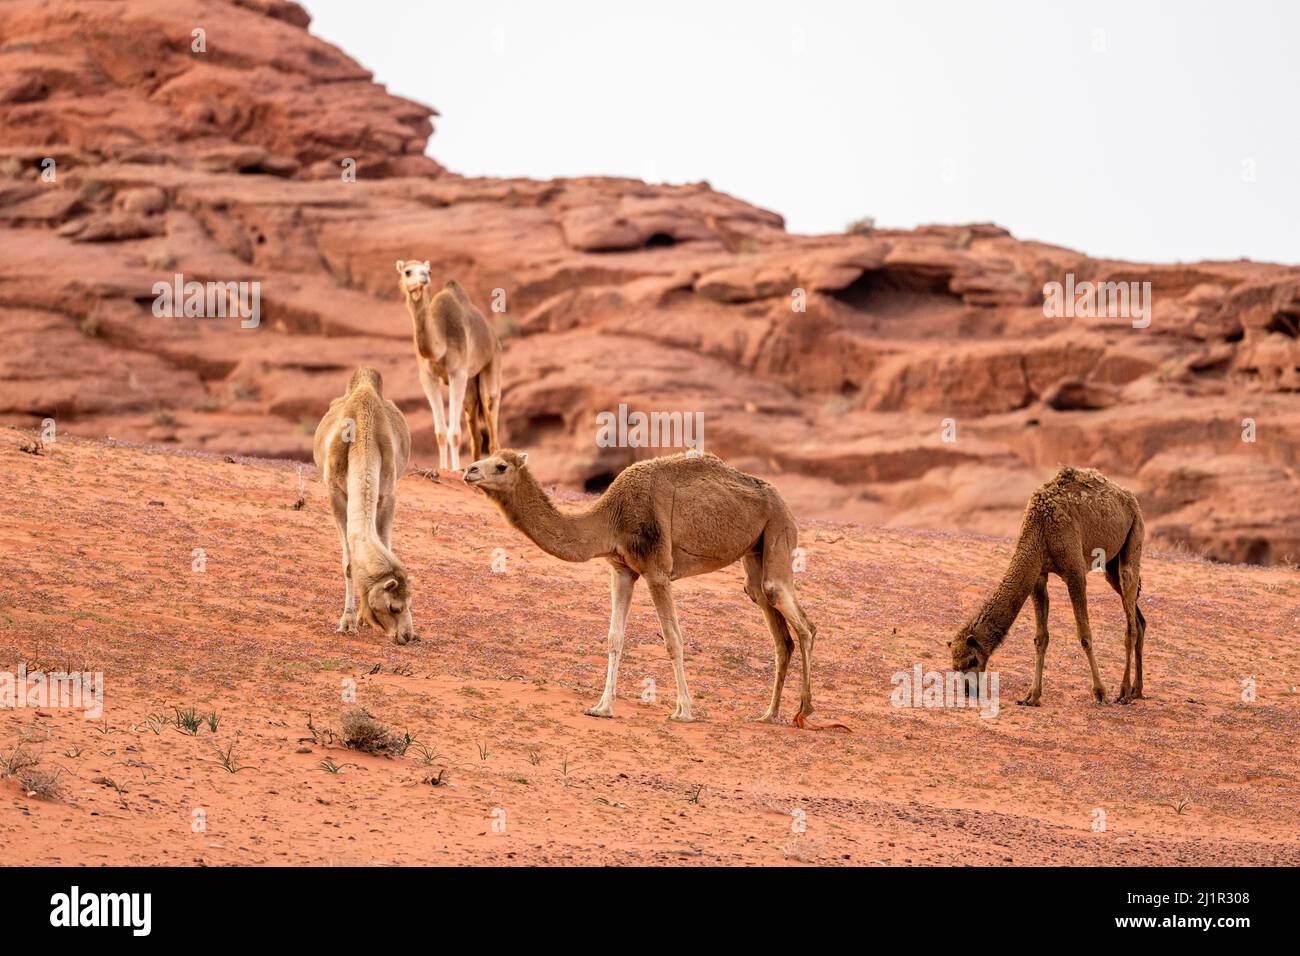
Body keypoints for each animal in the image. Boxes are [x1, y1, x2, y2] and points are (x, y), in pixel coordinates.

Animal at [313, 367, 415, 644]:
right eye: (393, 607)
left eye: (409, 603)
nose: (408, 636)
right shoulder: (335, 493)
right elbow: (349, 564)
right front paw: (347, 622)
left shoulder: (387, 495)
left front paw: (360, 616)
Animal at [396, 261, 502, 472]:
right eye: (407, 271)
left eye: (428, 271)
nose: (424, 277)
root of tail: (493, 337)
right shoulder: (427, 377)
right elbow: (440, 433)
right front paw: (443, 469)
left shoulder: (457, 373)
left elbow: (454, 433)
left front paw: (453, 470)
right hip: (471, 382)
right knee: (475, 432)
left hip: (492, 362)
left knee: (491, 417)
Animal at [464, 449, 840, 729]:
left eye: (500, 465)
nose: (469, 470)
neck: (610, 516)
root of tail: (779, 497)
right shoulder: (622, 570)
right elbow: (614, 638)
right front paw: (601, 707)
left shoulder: (657, 570)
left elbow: (673, 639)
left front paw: (683, 711)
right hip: (754, 552)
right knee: (773, 621)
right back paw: (768, 714)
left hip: (779, 527)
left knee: (795, 614)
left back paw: (803, 712)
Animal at [948, 466, 1147, 705]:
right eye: (954, 667)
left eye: (971, 660)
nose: (969, 691)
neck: (1040, 529)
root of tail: (1128, 496)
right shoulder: (1038, 574)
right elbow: (1041, 637)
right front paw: (1031, 696)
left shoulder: (1075, 571)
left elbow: (1085, 635)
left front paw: (1100, 692)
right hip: (1110, 566)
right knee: (1139, 619)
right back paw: (1137, 689)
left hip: (1134, 534)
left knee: (1130, 617)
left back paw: (1124, 692)